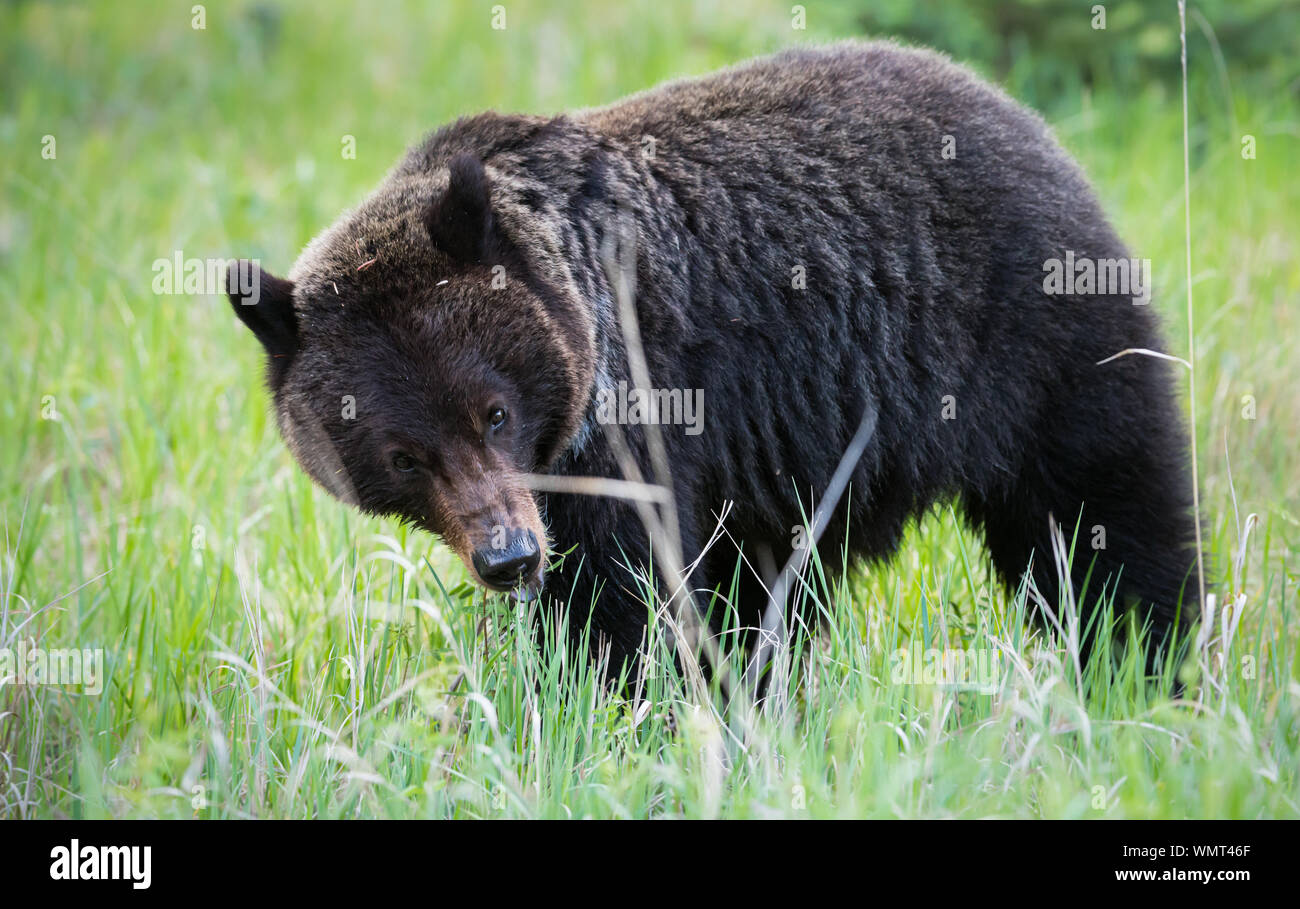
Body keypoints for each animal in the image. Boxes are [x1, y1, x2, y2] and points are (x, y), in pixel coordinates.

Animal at [227, 40, 1201, 681]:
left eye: (494, 411)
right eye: (401, 454)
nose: (508, 556)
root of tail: (1021, 112)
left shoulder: (638, 410)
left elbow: (621, 593)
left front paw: (610, 695)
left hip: (1032, 337)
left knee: (1100, 509)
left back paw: (1145, 659)